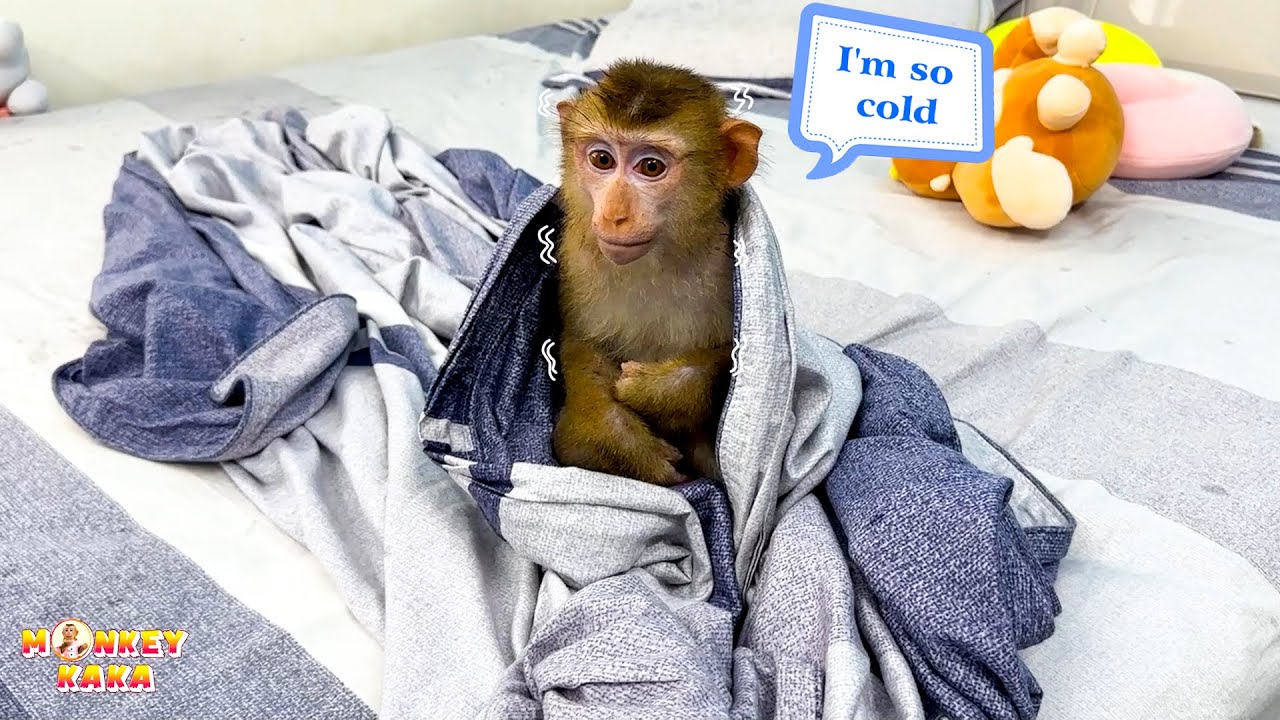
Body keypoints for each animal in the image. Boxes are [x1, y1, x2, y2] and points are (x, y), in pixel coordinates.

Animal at [549, 59, 763, 487]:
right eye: (602, 160)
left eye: (651, 166)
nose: (615, 216)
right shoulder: (575, 260)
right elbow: (582, 342)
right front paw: (613, 437)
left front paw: (658, 390)